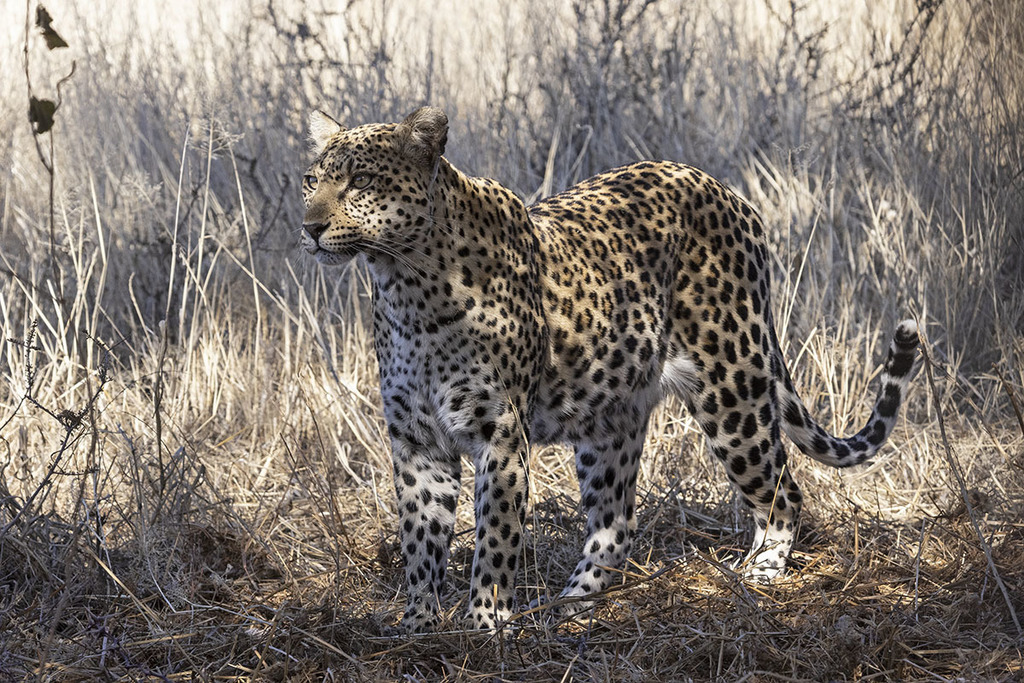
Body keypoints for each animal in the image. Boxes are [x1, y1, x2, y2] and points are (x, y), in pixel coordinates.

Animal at [301, 106, 919, 633]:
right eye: (311, 181)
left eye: (360, 182)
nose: (308, 226)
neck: (406, 284)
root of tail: (725, 191)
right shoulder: (416, 439)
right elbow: (420, 536)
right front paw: (420, 625)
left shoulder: (500, 433)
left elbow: (495, 534)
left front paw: (484, 624)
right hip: (611, 419)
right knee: (617, 523)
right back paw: (570, 605)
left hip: (732, 387)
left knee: (784, 491)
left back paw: (760, 574)